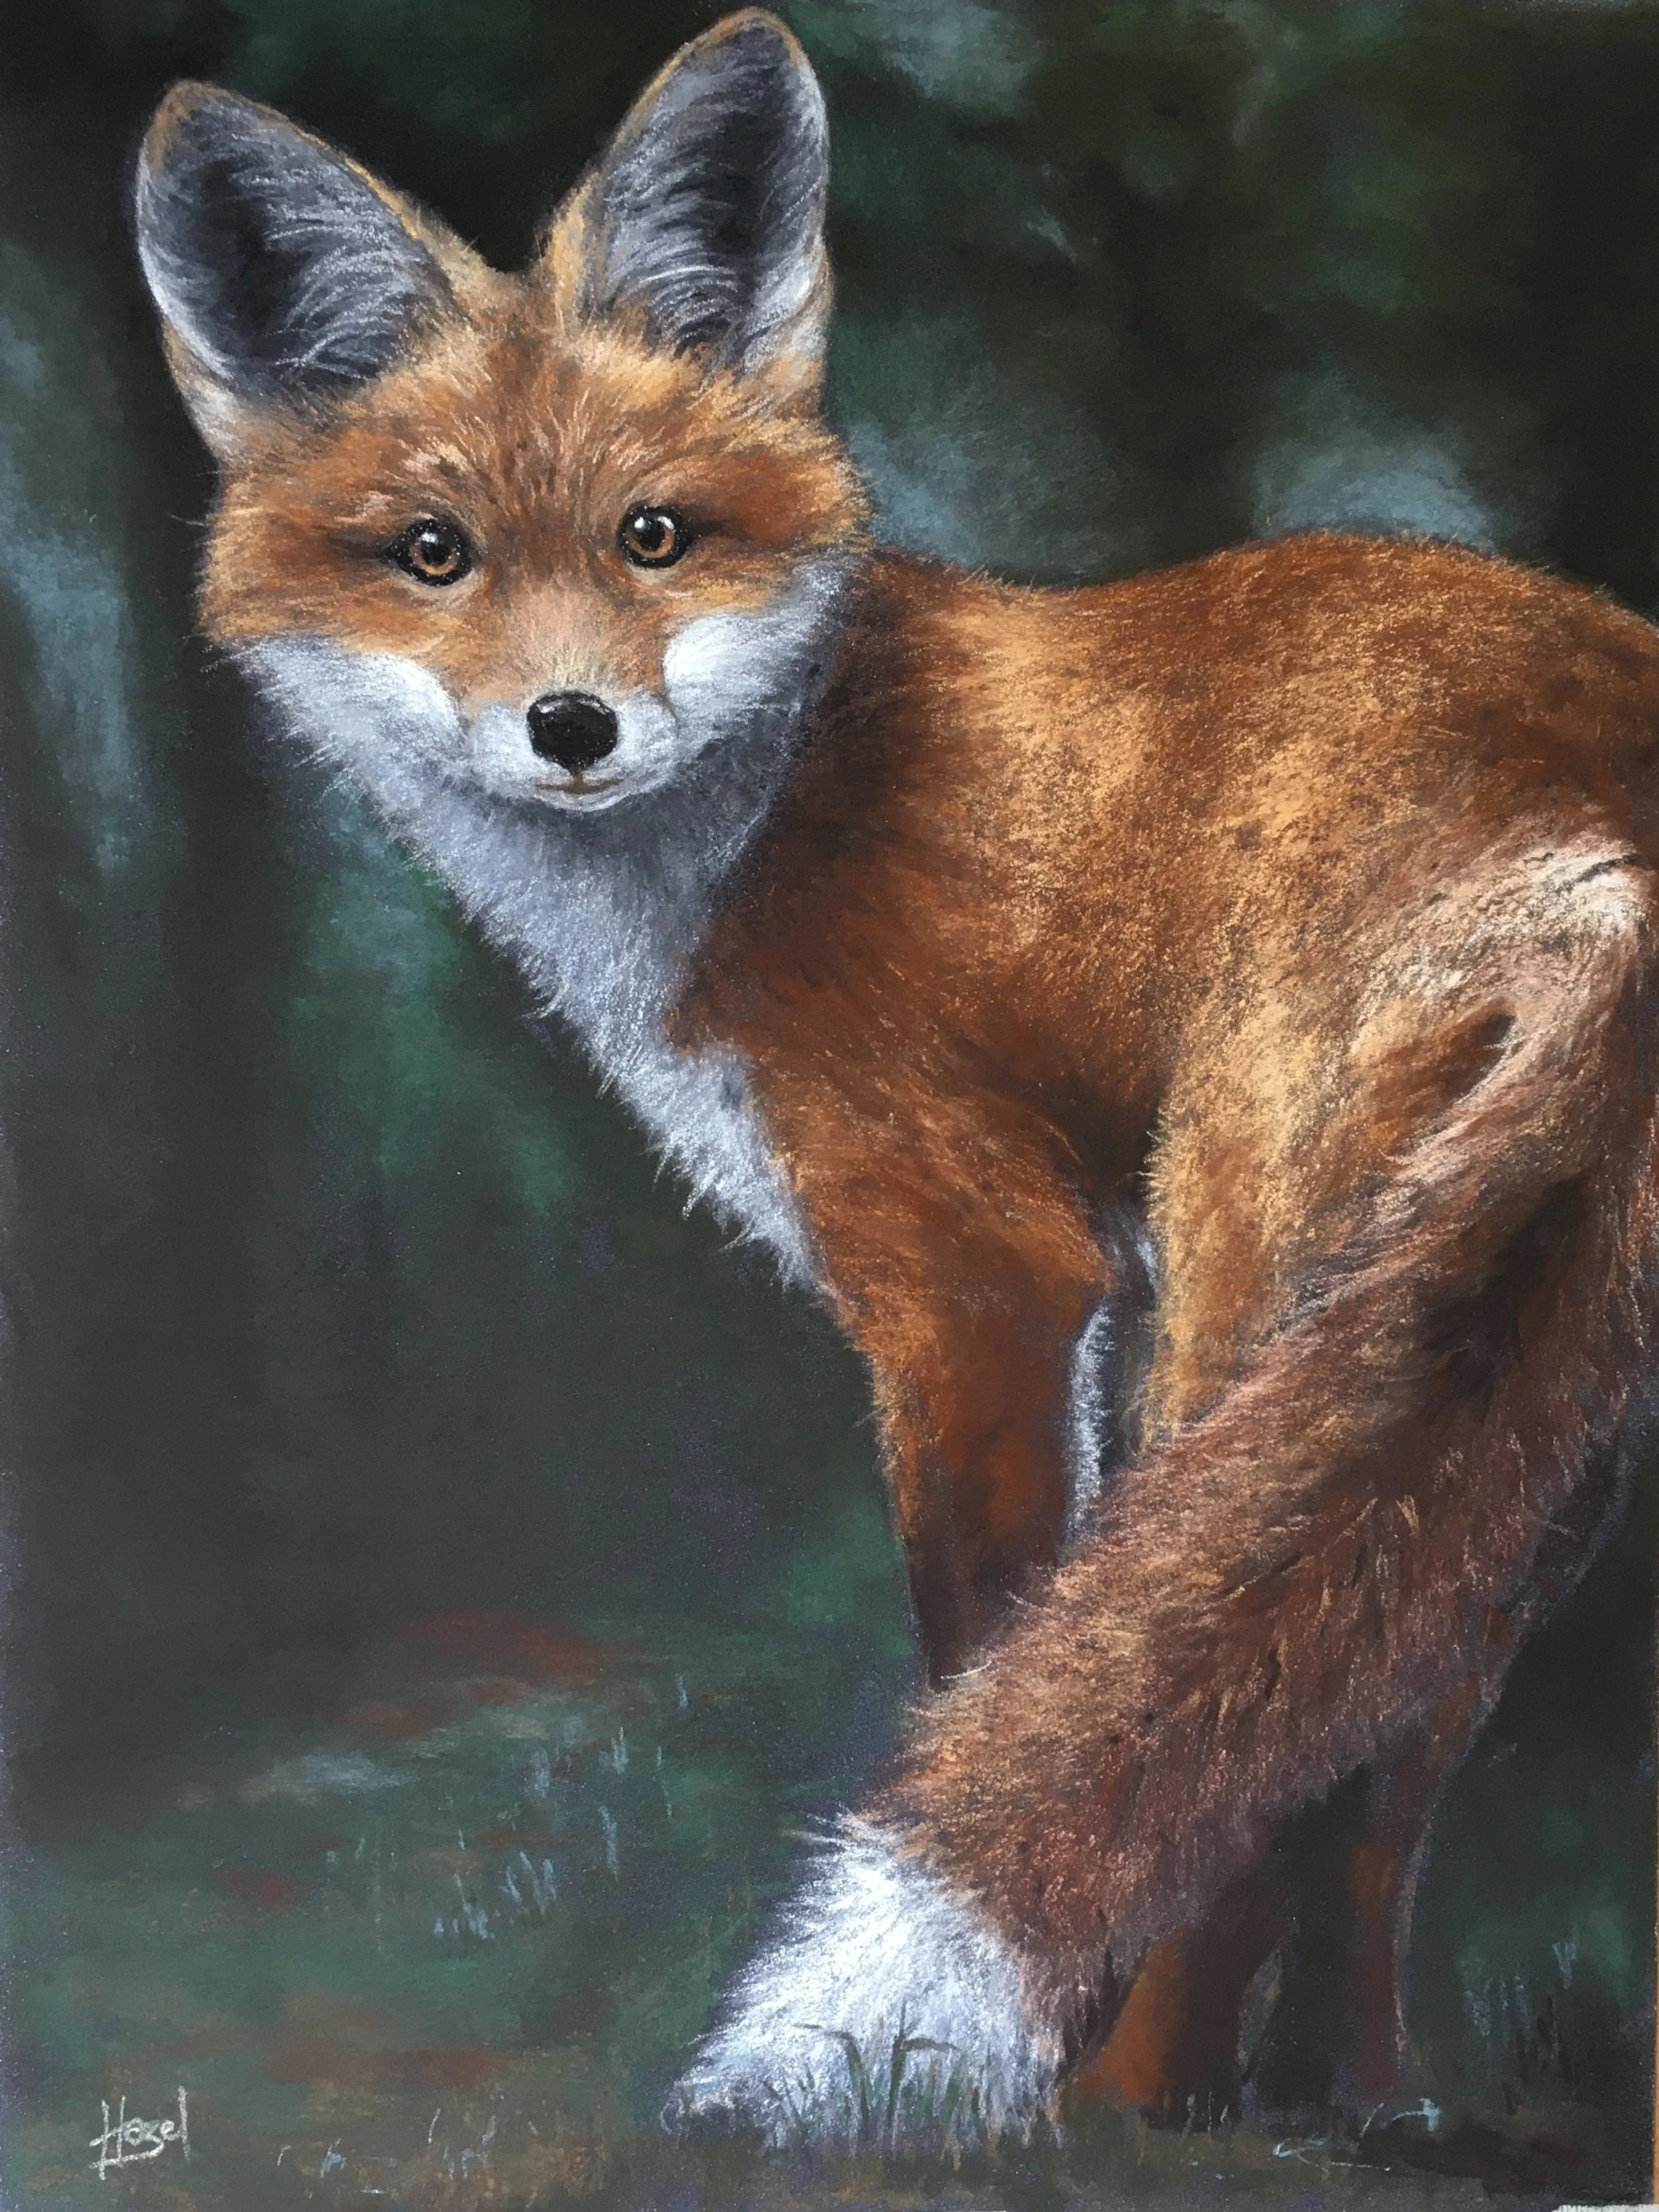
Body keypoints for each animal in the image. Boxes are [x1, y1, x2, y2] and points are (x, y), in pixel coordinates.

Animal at [132, 7, 1659, 2147]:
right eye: (432, 555)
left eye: (654, 536)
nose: (573, 723)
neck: (772, 801)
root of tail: (1599, 788)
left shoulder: (979, 1271)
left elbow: (985, 1661)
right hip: (1528, 1383)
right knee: (1366, 1760)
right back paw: (1342, 2108)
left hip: (1256, 1285)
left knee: (1236, 1764)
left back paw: (1108, 2117)